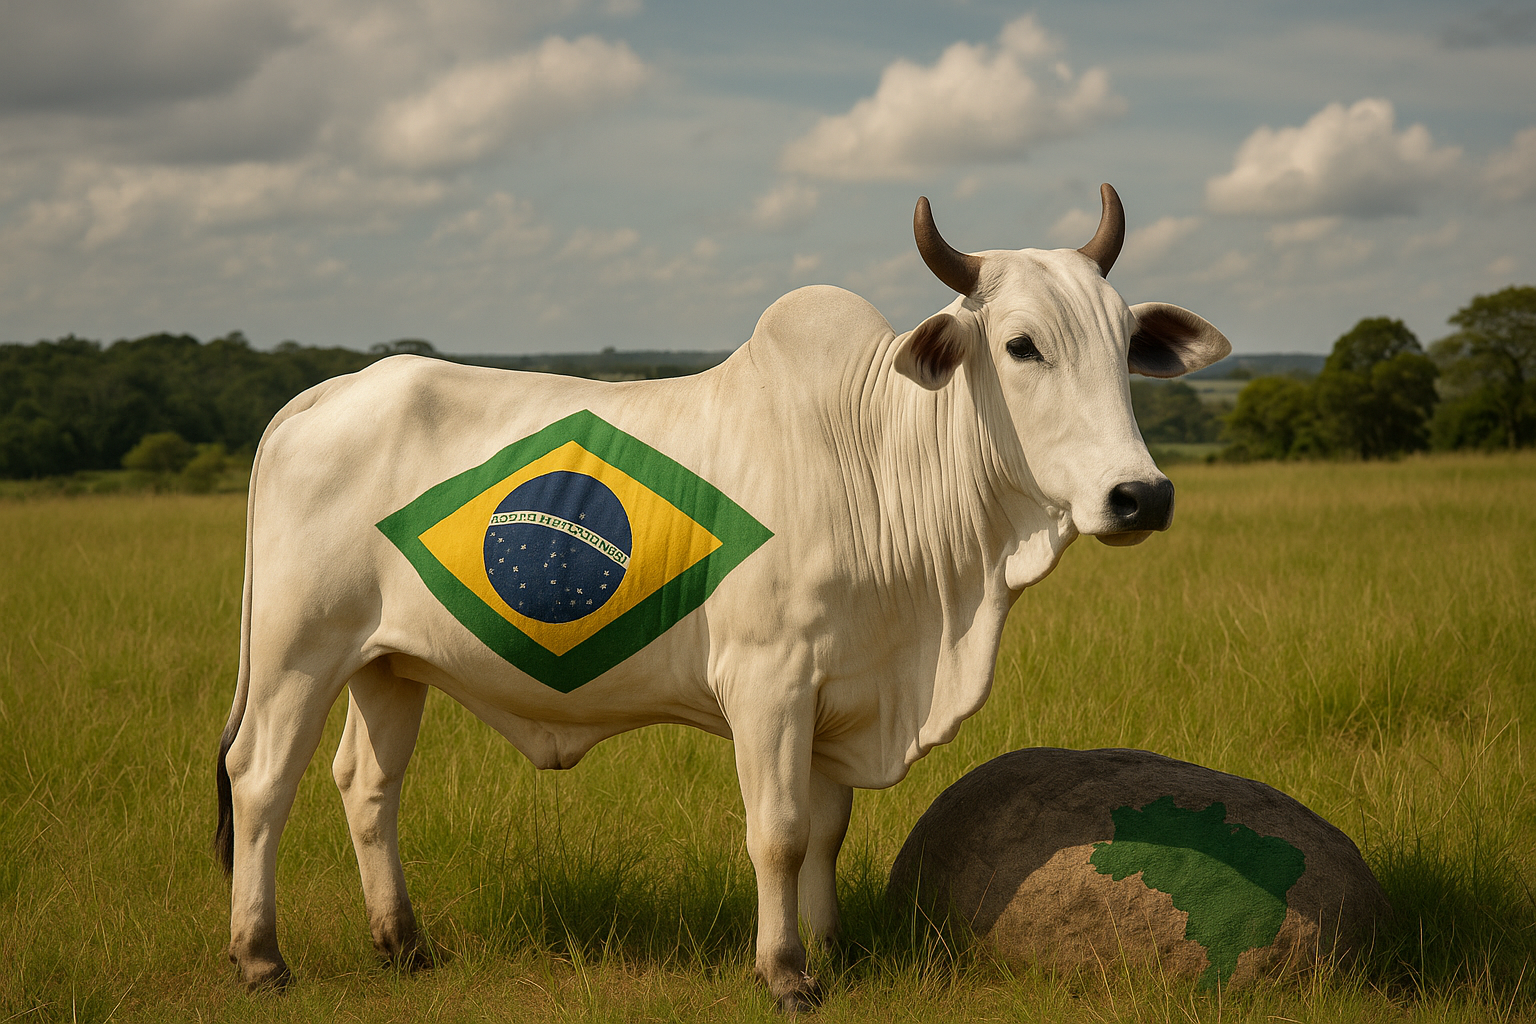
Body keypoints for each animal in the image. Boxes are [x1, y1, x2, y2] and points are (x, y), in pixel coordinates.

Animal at [215, 184, 1229, 1010]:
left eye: (1125, 351)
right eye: (1022, 345)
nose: (1141, 496)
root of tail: (324, 394)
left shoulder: (837, 697)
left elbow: (825, 834)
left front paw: (833, 950)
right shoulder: (769, 684)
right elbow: (777, 833)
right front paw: (785, 973)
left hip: (388, 664)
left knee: (368, 786)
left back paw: (403, 946)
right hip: (297, 655)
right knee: (261, 781)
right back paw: (261, 958)